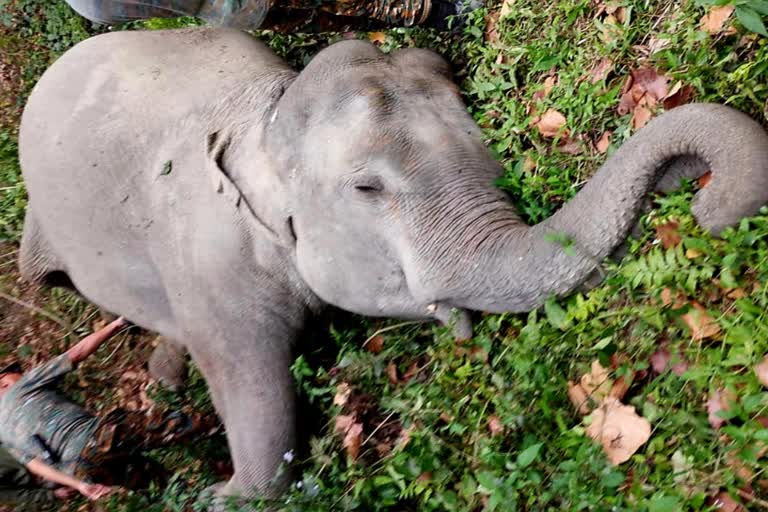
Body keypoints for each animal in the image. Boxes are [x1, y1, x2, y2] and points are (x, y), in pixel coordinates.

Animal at [16, 27, 768, 501]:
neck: (266, 112)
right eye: (368, 189)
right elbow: (257, 405)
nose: (701, 192)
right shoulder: (210, 265)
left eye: (492, 161)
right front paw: (219, 494)